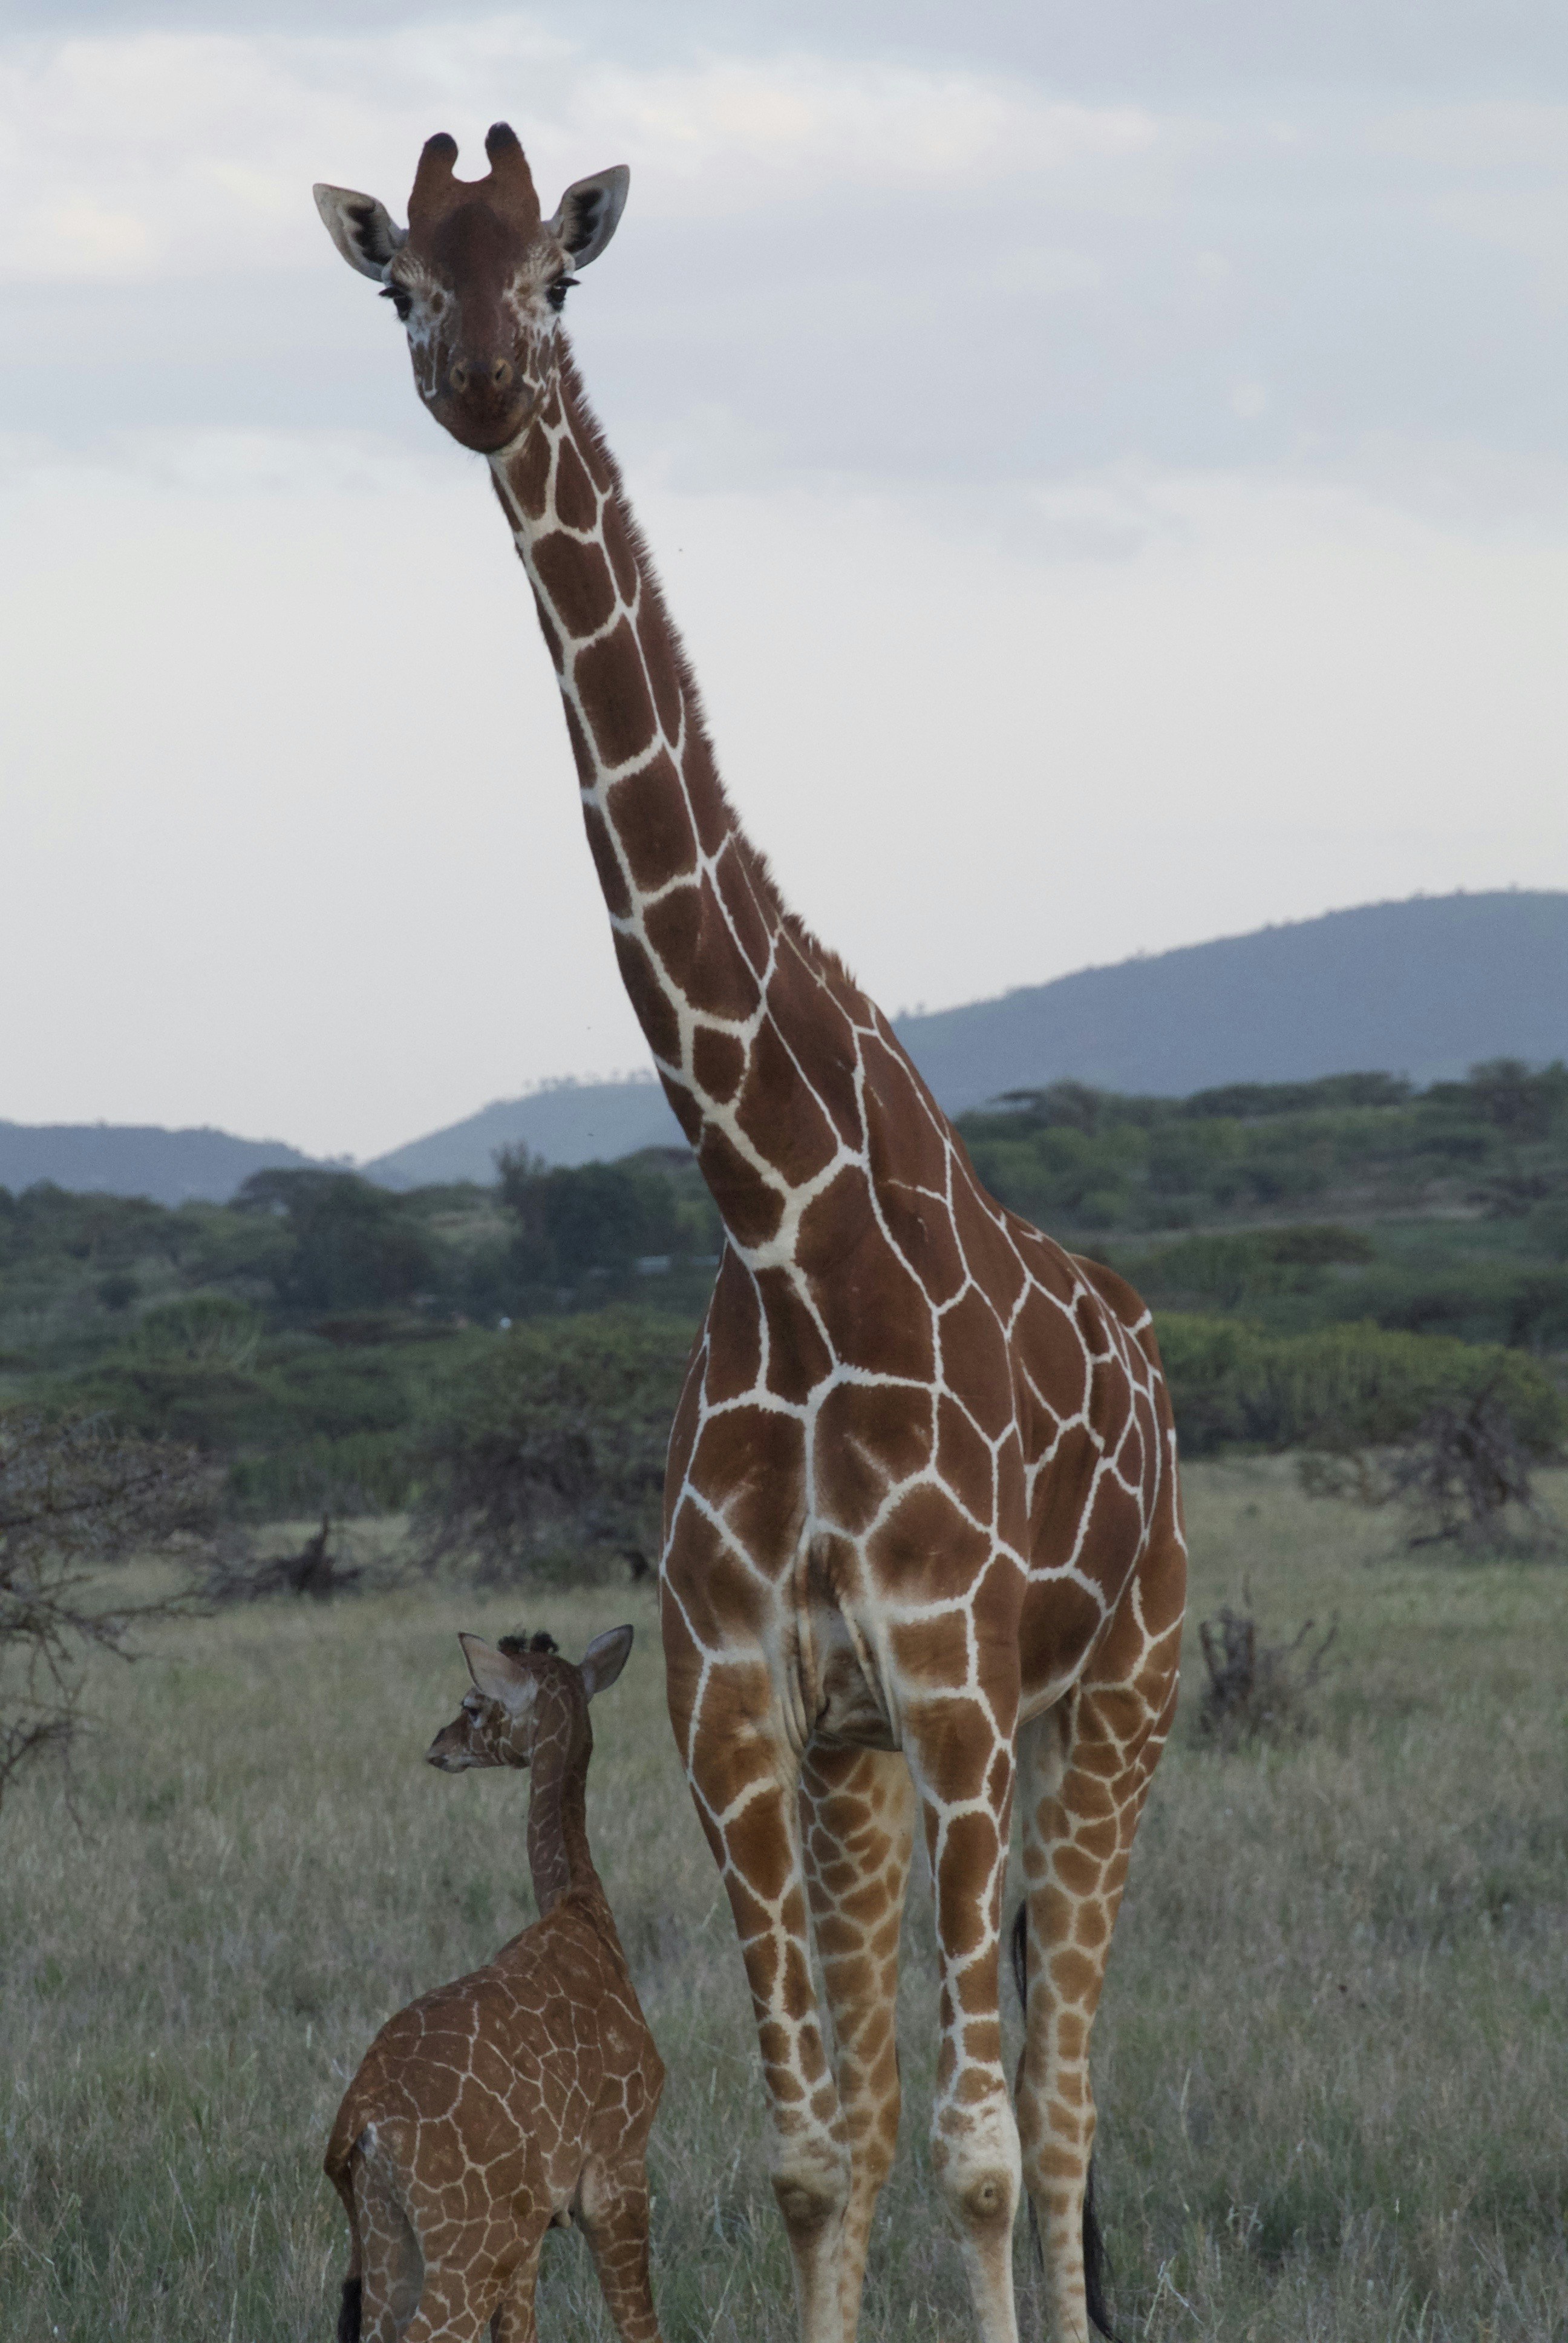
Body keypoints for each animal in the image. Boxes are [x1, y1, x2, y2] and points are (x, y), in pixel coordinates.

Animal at [325, 1626, 665, 2343]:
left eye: (473, 1705)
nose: (438, 1746)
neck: (585, 1909)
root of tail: (359, 2119)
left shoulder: (539, 2220)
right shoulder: (617, 2167)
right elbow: (641, 2323)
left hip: (390, 2236)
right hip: (471, 2247)